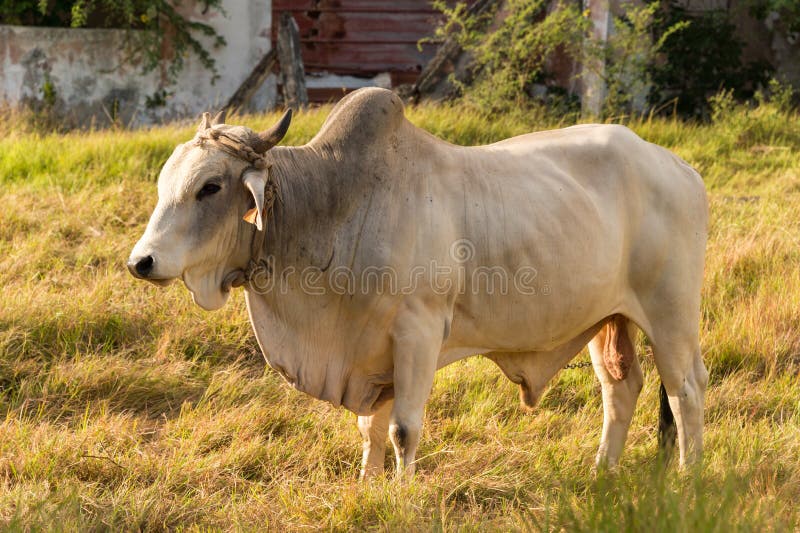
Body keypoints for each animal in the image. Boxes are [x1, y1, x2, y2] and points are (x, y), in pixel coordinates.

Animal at [128, 88, 708, 479]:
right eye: (165, 182)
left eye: (210, 187)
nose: (142, 261)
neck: (335, 206)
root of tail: (680, 167)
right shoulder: (371, 353)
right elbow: (370, 428)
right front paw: (367, 486)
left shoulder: (418, 335)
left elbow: (404, 429)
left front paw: (401, 495)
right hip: (607, 319)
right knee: (621, 388)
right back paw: (601, 472)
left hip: (671, 315)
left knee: (686, 391)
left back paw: (688, 477)